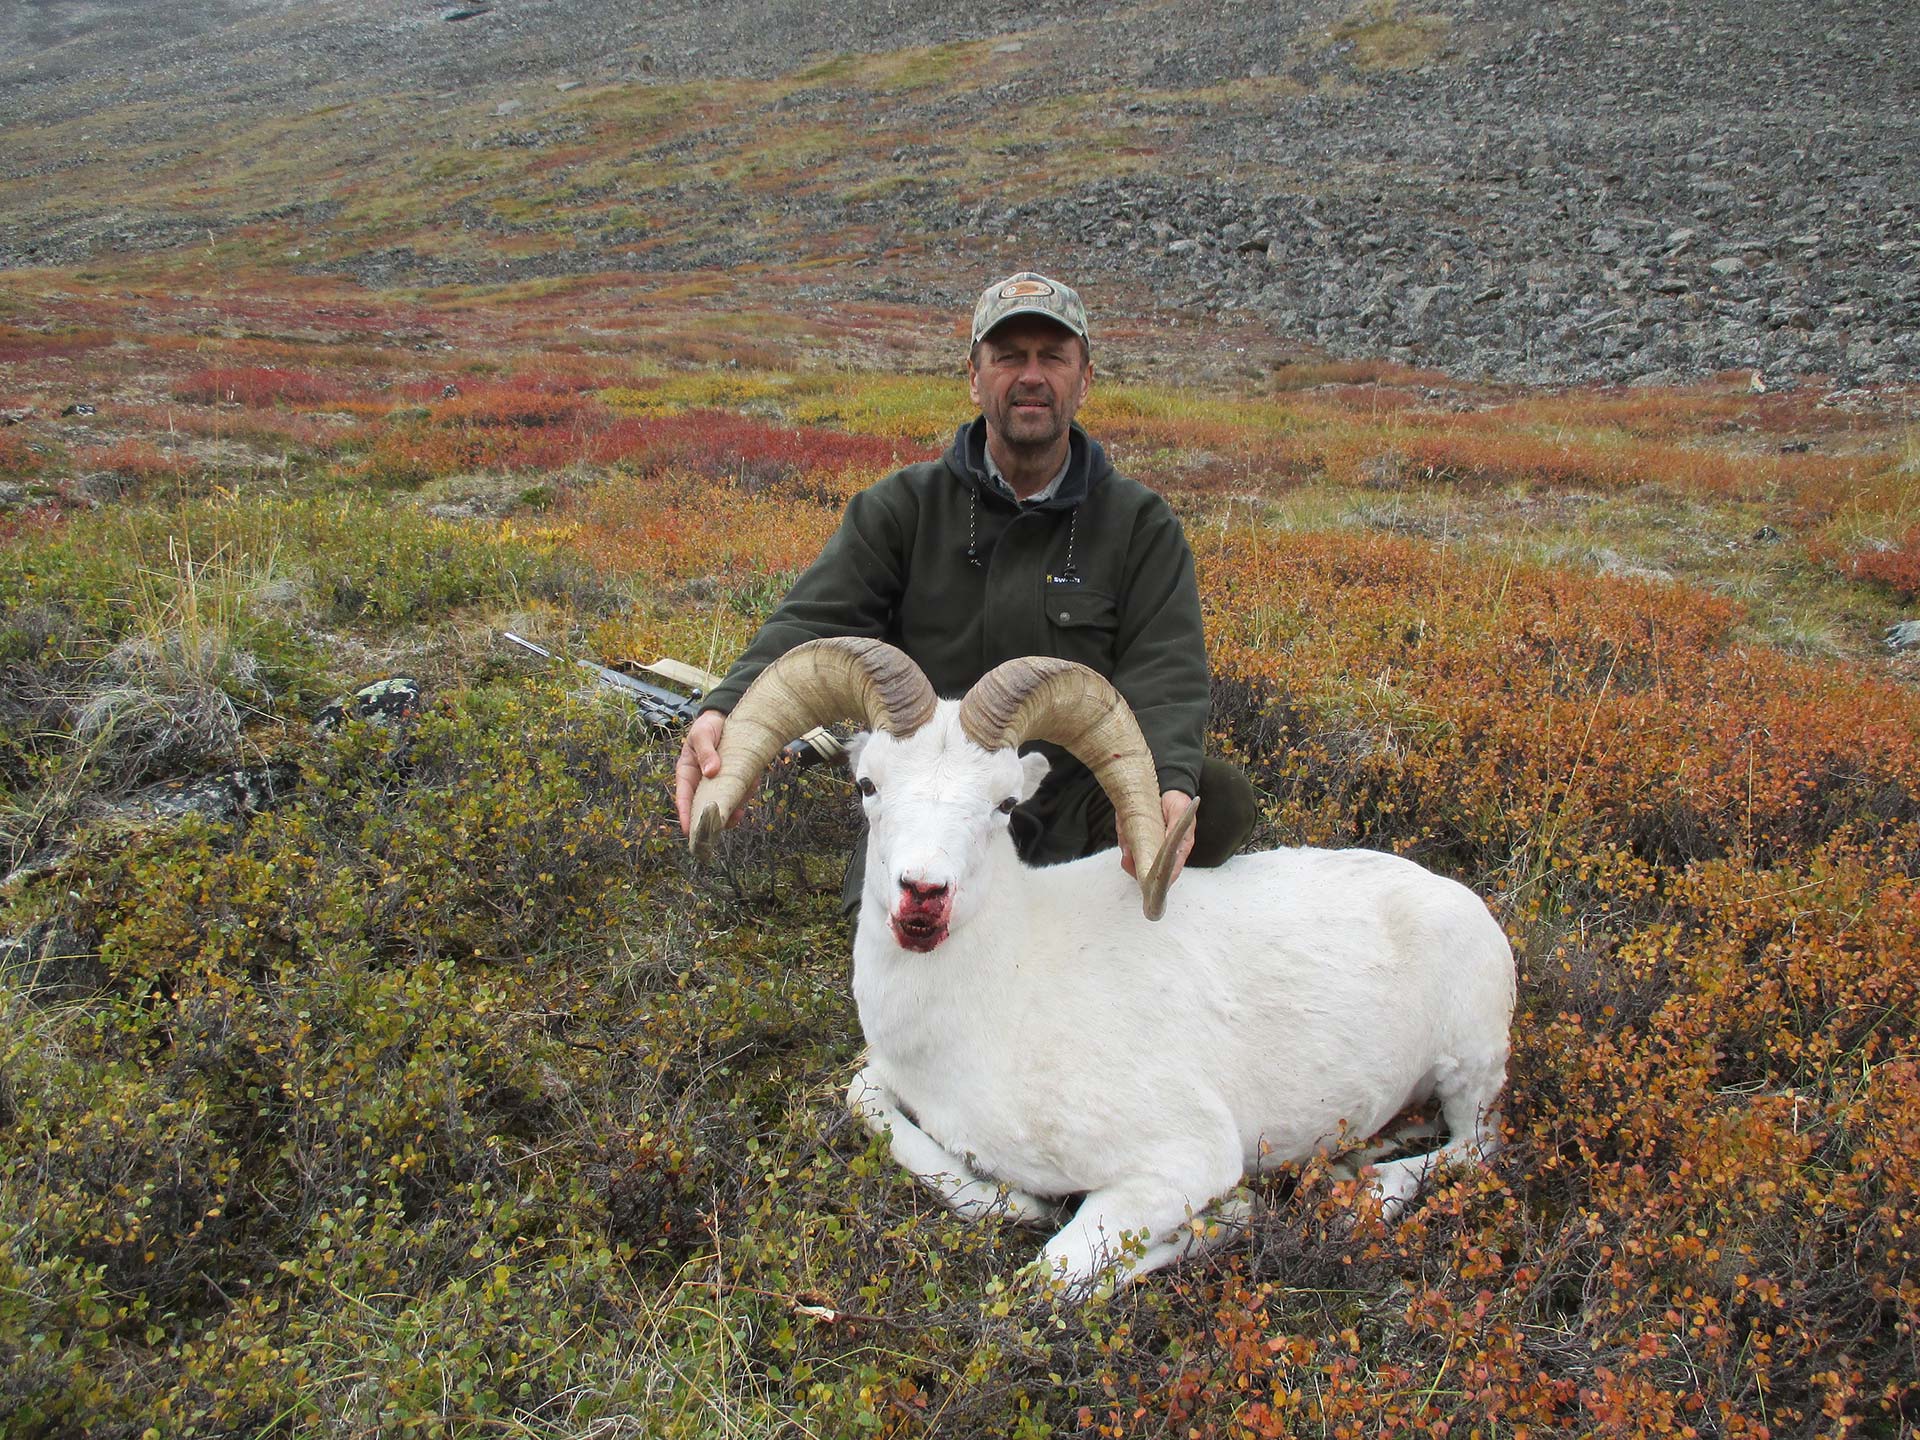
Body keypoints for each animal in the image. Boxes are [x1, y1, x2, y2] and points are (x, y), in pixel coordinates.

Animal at [688, 636, 1515, 1296]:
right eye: (869, 786)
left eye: (1003, 804)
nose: (923, 895)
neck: (995, 1011)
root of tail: (1464, 904)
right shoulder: (888, 1086)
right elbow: (867, 1104)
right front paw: (1012, 1204)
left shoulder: (1181, 1160)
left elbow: (1046, 1283)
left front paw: (1230, 1216)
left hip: (1471, 1069)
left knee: (1477, 1148)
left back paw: (1370, 1190)